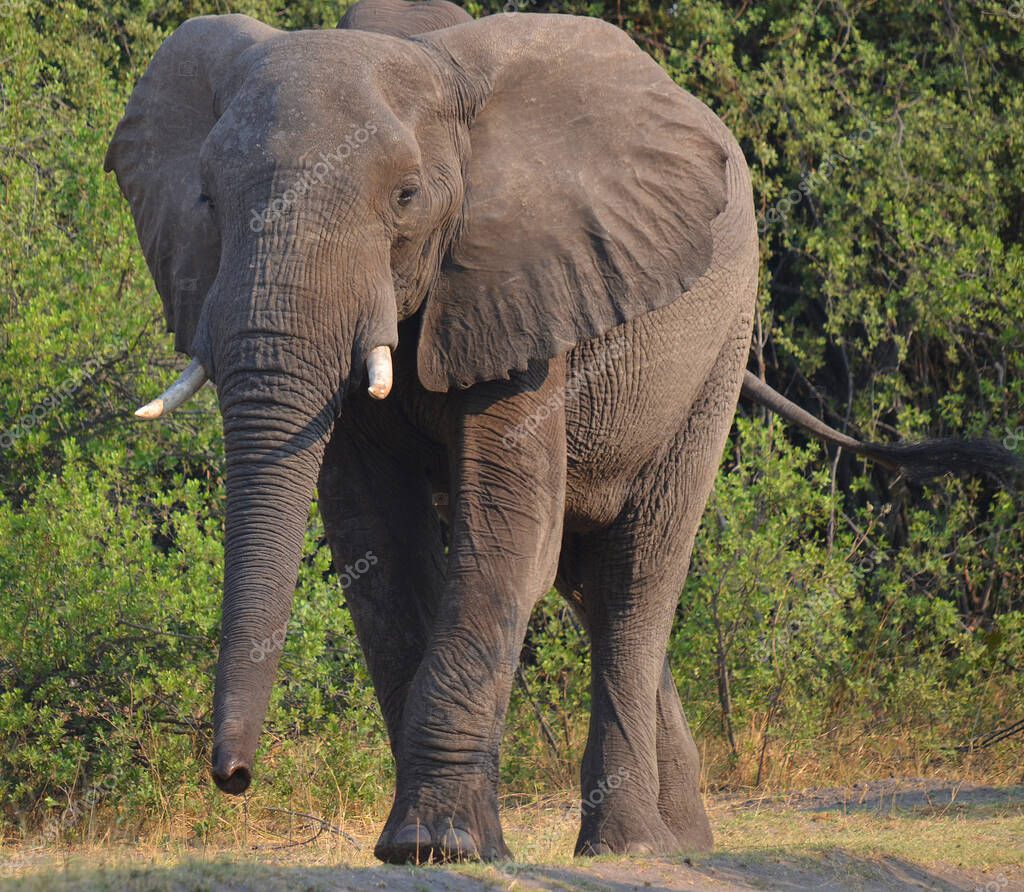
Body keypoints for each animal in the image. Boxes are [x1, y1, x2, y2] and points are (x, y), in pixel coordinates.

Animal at [104, 0, 1020, 864]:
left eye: (406, 197)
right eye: (206, 200)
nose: (235, 777)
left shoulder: (524, 289)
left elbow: (505, 537)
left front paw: (439, 846)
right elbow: (377, 543)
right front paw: (432, 843)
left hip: (719, 346)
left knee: (637, 574)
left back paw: (632, 845)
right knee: (591, 578)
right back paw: (683, 842)